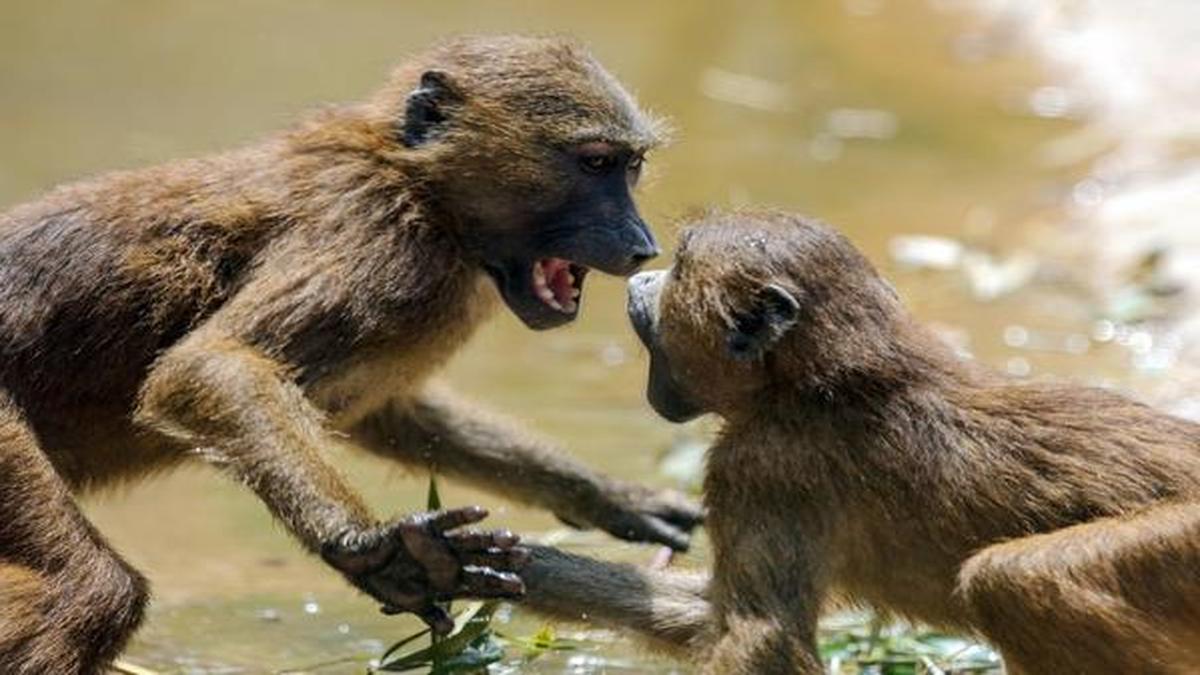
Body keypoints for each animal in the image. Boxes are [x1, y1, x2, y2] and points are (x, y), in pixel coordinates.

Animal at [0, 35, 702, 674]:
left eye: (630, 166)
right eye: (594, 162)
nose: (641, 243)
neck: (420, 187)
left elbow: (381, 412)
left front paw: (610, 497)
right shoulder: (371, 239)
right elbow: (211, 363)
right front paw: (376, 549)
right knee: (95, 591)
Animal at [522, 209, 1200, 674]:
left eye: (683, 266)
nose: (645, 279)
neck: (823, 380)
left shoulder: (759, 465)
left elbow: (759, 641)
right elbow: (711, 617)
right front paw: (511, 564)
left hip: (1181, 541)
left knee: (1010, 581)